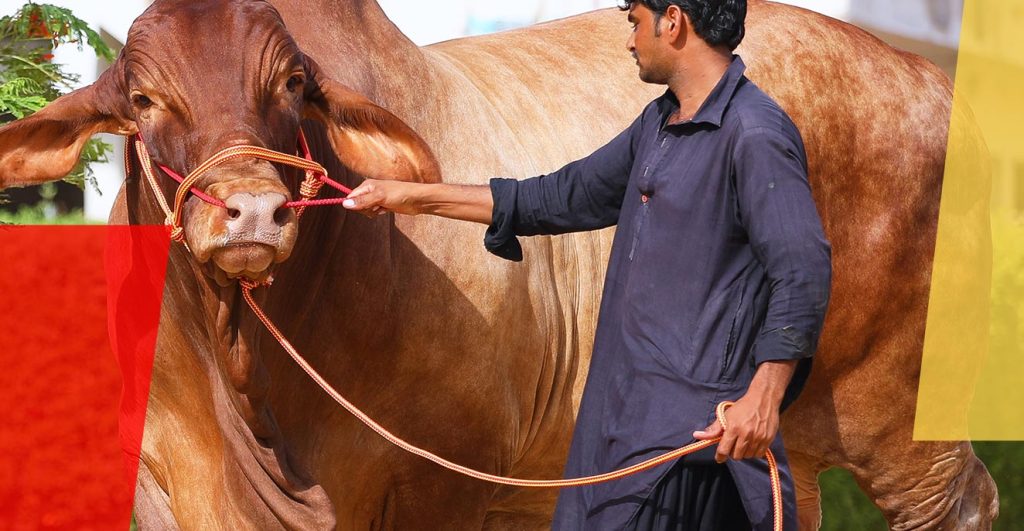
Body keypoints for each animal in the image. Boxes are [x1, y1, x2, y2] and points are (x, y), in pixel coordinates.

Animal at [0, 0, 998, 529]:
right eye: (141, 98)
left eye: (292, 84)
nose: (251, 208)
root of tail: (928, 78)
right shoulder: (162, 483)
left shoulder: (447, 487)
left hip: (901, 417)